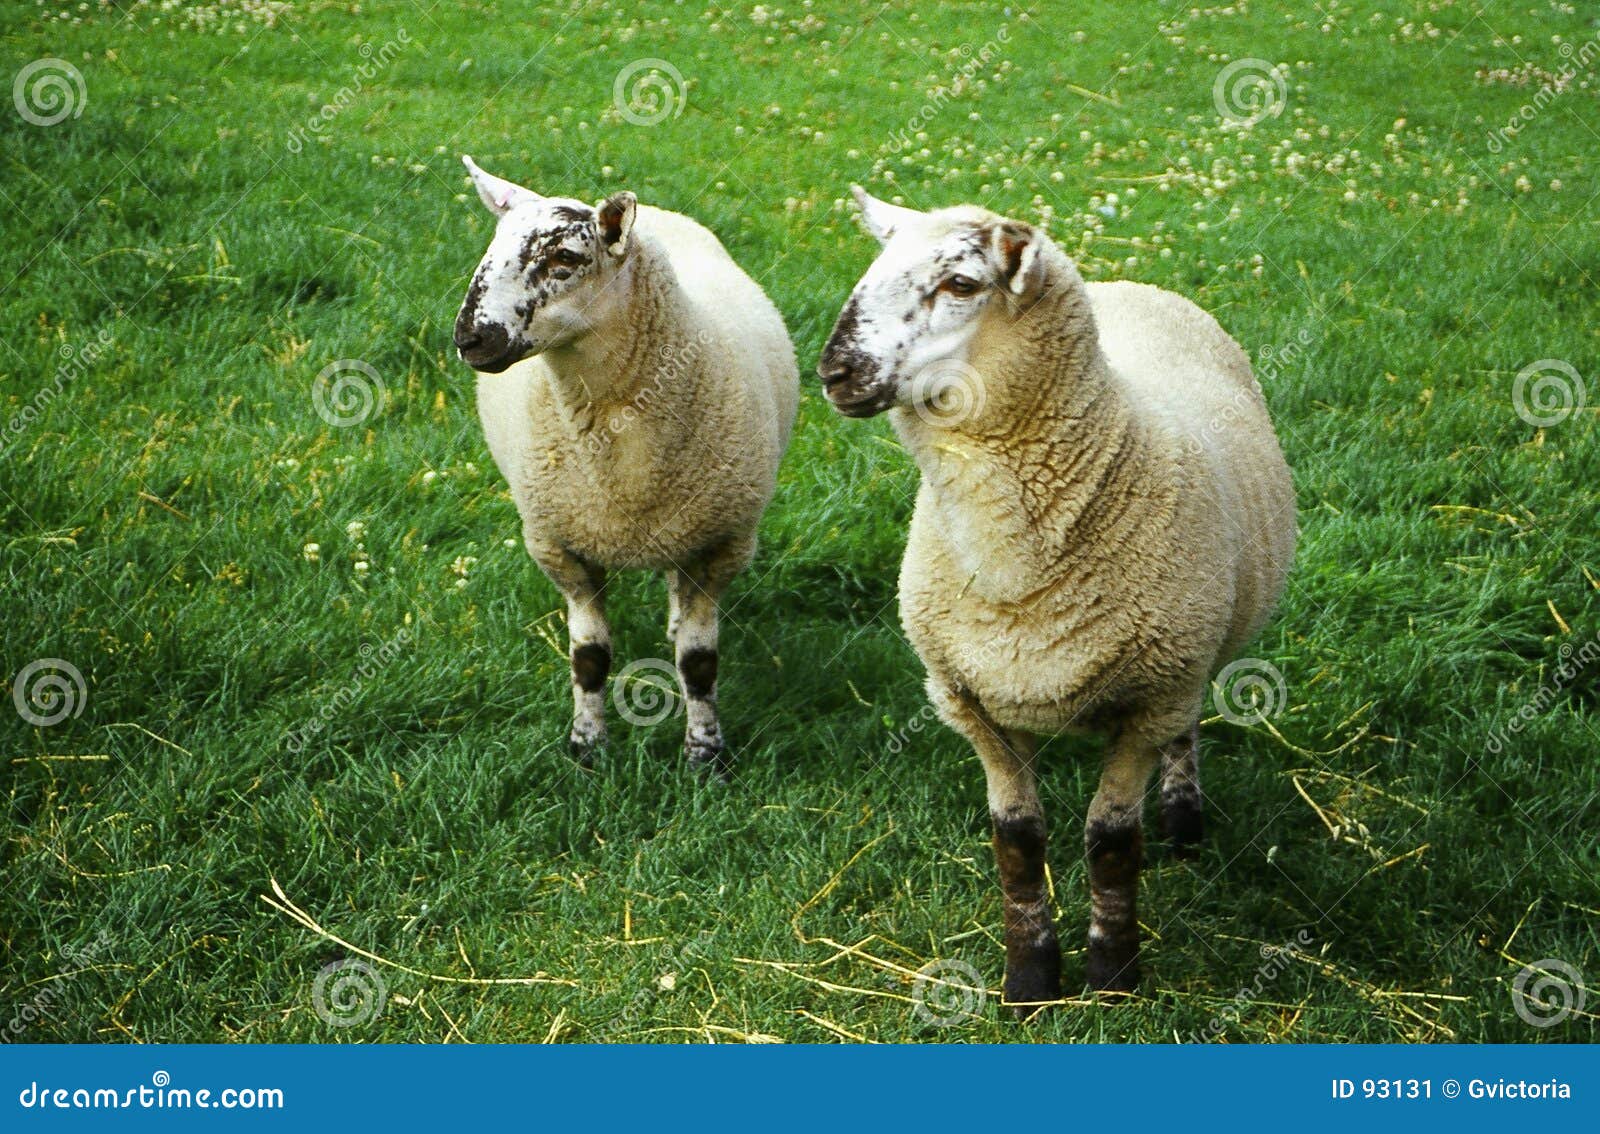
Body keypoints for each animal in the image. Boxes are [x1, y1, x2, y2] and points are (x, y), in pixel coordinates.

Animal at [453, 157, 798, 775]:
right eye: (490, 249)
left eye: (565, 259)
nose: (469, 337)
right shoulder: (560, 545)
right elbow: (589, 658)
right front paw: (587, 748)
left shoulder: (721, 543)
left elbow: (699, 664)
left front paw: (704, 757)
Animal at [817, 188, 1296, 1008]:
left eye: (962, 284)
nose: (834, 370)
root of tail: (1136, 283)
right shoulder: (968, 700)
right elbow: (1016, 840)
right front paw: (1031, 978)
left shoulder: (1150, 696)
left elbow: (1111, 842)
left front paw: (1113, 976)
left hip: (1188, 652)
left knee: (1186, 729)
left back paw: (1184, 818)